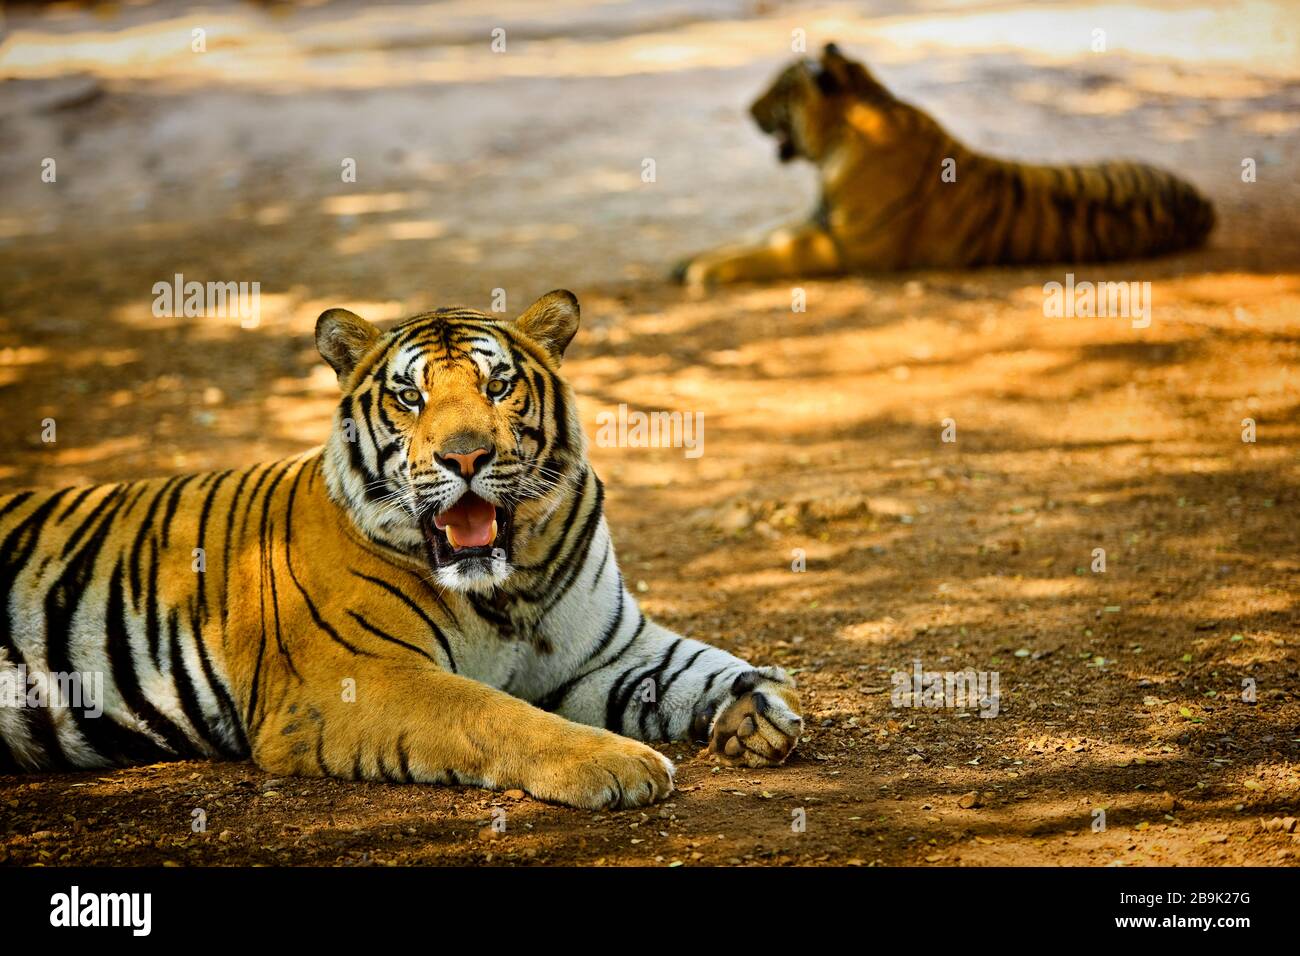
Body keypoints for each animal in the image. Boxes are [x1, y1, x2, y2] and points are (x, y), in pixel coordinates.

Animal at [0, 290, 802, 809]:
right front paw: (618, 762)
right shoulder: (357, 677)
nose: (466, 456)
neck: (511, 587)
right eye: (410, 398)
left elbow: (697, 665)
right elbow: (491, 711)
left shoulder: (608, 651)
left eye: (499, 385)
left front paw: (762, 707)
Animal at [675, 43, 1216, 287]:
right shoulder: (816, 218)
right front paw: (692, 258)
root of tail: (1204, 201)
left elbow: (769, 254)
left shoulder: (846, 244)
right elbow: (758, 236)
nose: (747, 108)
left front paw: (704, 271)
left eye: (781, 88)